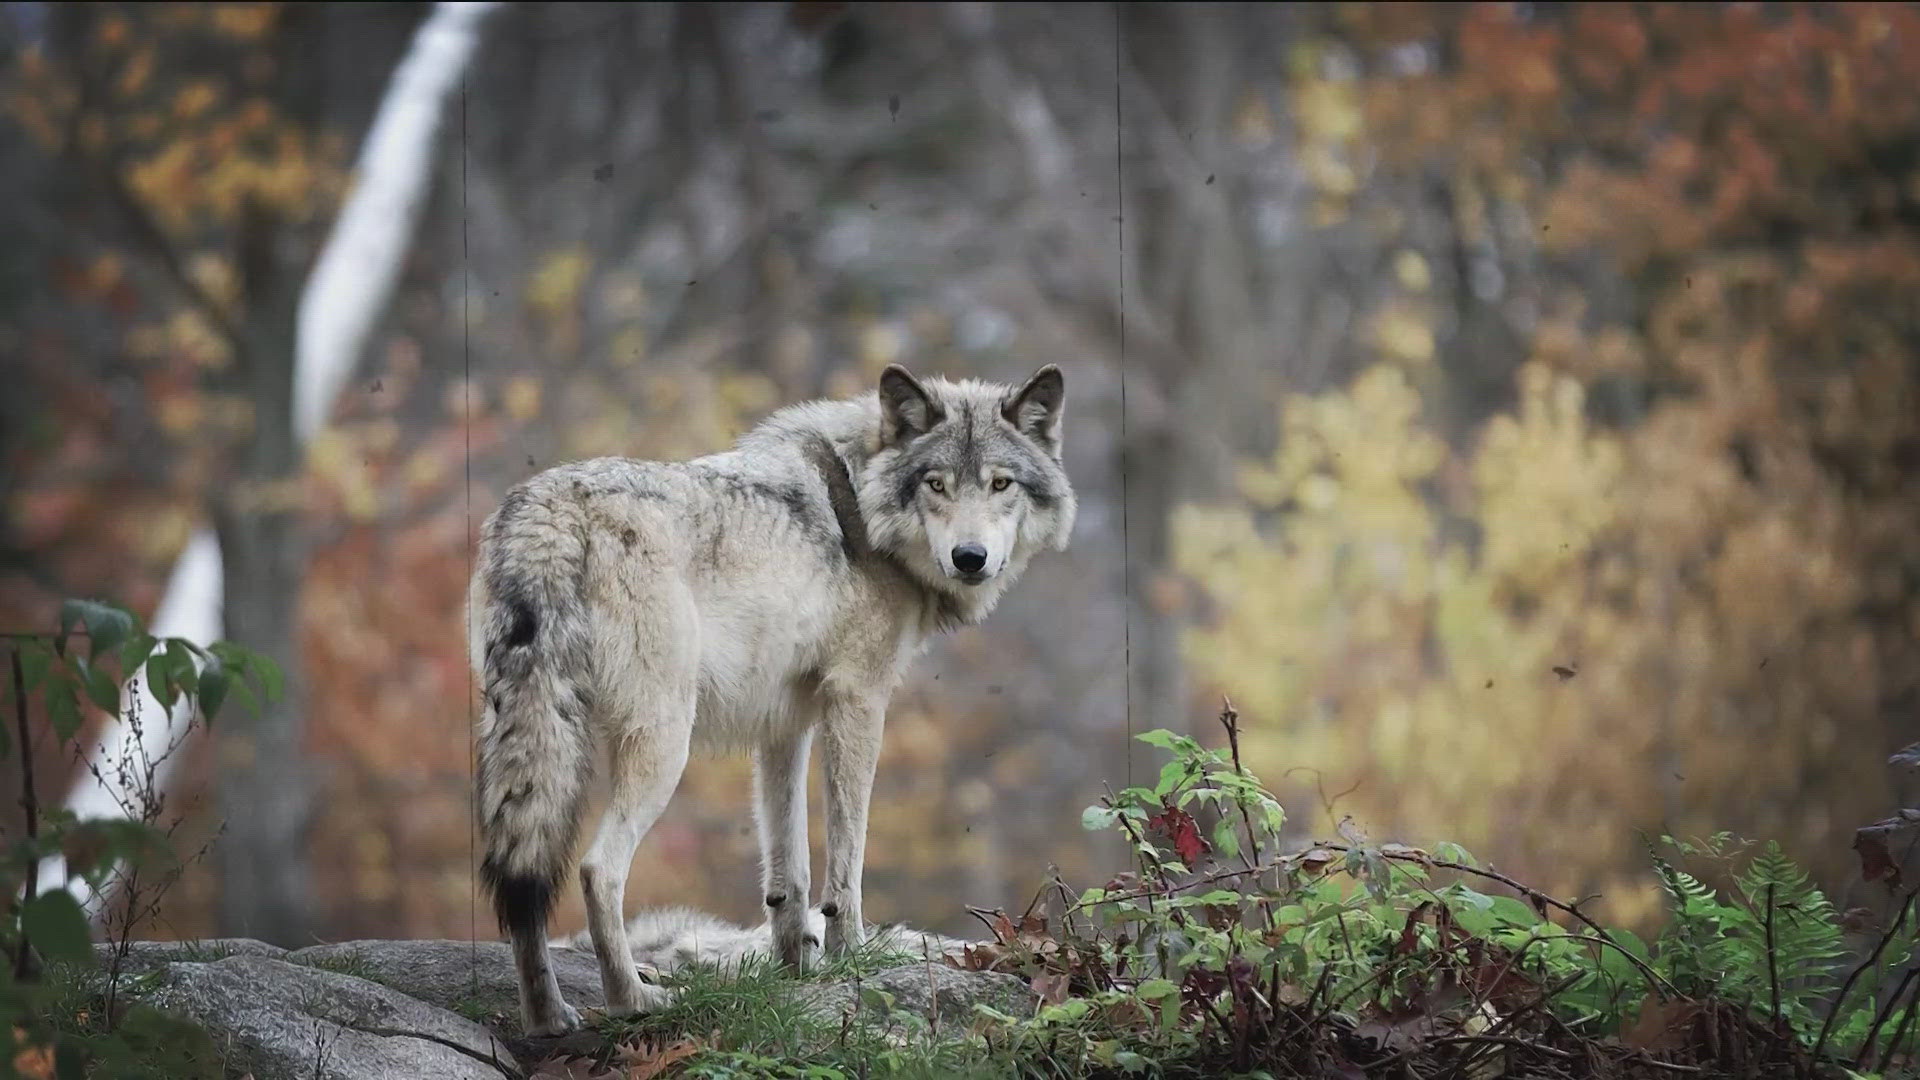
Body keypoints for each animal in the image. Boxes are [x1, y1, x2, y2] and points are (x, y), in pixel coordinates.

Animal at [469, 364, 1074, 1034]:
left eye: (1000, 483)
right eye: (936, 484)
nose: (970, 559)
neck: (859, 504)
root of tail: (550, 511)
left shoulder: (784, 724)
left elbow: (790, 870)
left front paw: (795, 971)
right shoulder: (859, 701)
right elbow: (846, 860)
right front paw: (848, 958)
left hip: (529, 736)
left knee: (522, 878)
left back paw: (549, 1018)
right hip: (664, 744)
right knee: (598, 869)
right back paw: (634, 1000)